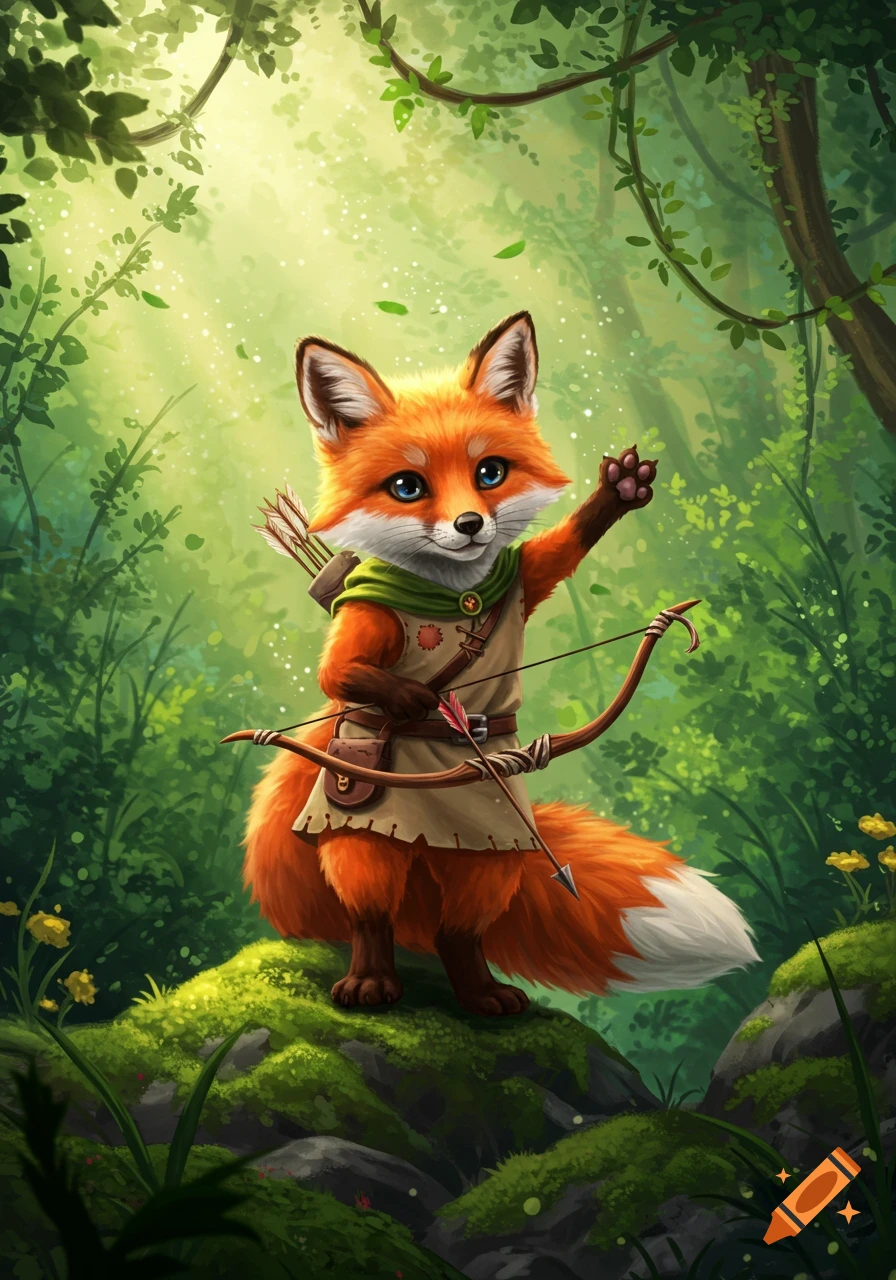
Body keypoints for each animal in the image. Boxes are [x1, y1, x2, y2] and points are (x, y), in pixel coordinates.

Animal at [243, 311, 759, 1016]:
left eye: (490, 472)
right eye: (407, 487)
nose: (469, 525)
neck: (453, 594)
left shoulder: (523, 578)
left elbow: (560, 551)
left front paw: (619, 492)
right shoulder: (366, 614)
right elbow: (339, 670)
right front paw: (410, 699)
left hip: (499, 844)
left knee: (460, 924)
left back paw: (481, 992)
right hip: (360, 821)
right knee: (370, 904)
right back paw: (371, 980)